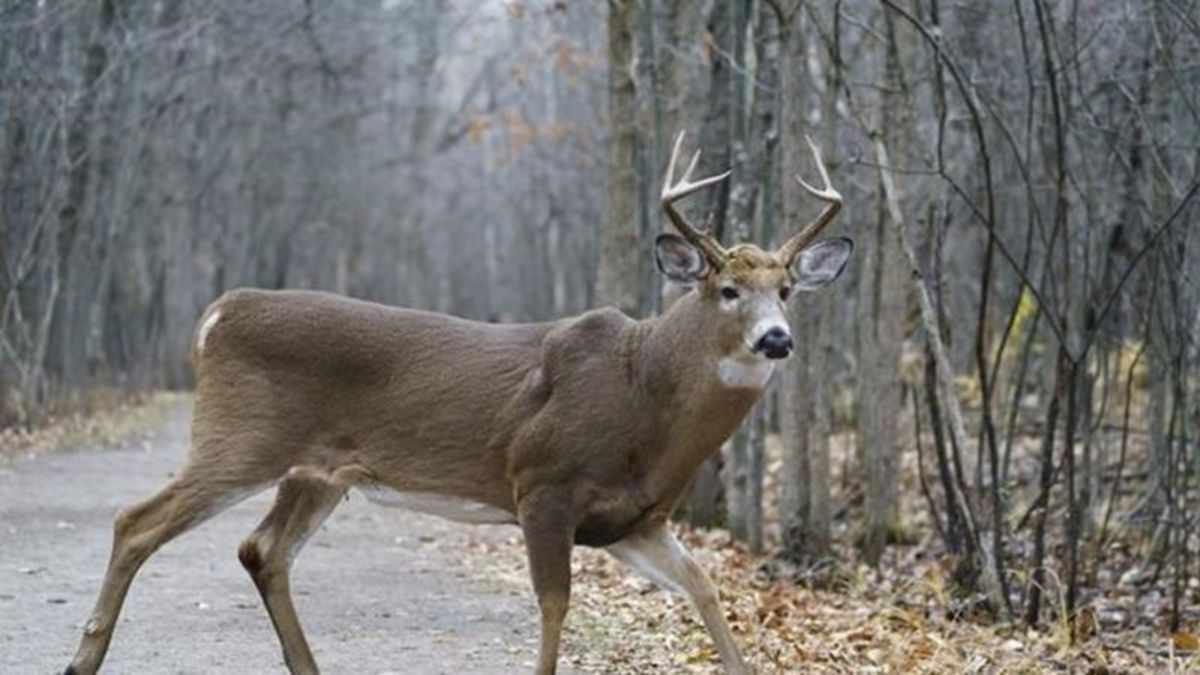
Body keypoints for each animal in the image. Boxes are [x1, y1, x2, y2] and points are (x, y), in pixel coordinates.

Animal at [64, 131, 852, 675]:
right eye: (728, 289)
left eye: (787, 290)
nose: (777, 338)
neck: (644, 393)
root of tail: (218, 313)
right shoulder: (542, 482)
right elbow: (554, 604)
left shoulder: (635, 520)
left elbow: (705, 589)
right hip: (243, 436)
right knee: (136, 520)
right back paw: (83, 659)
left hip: (317, 471)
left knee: (261, 550)